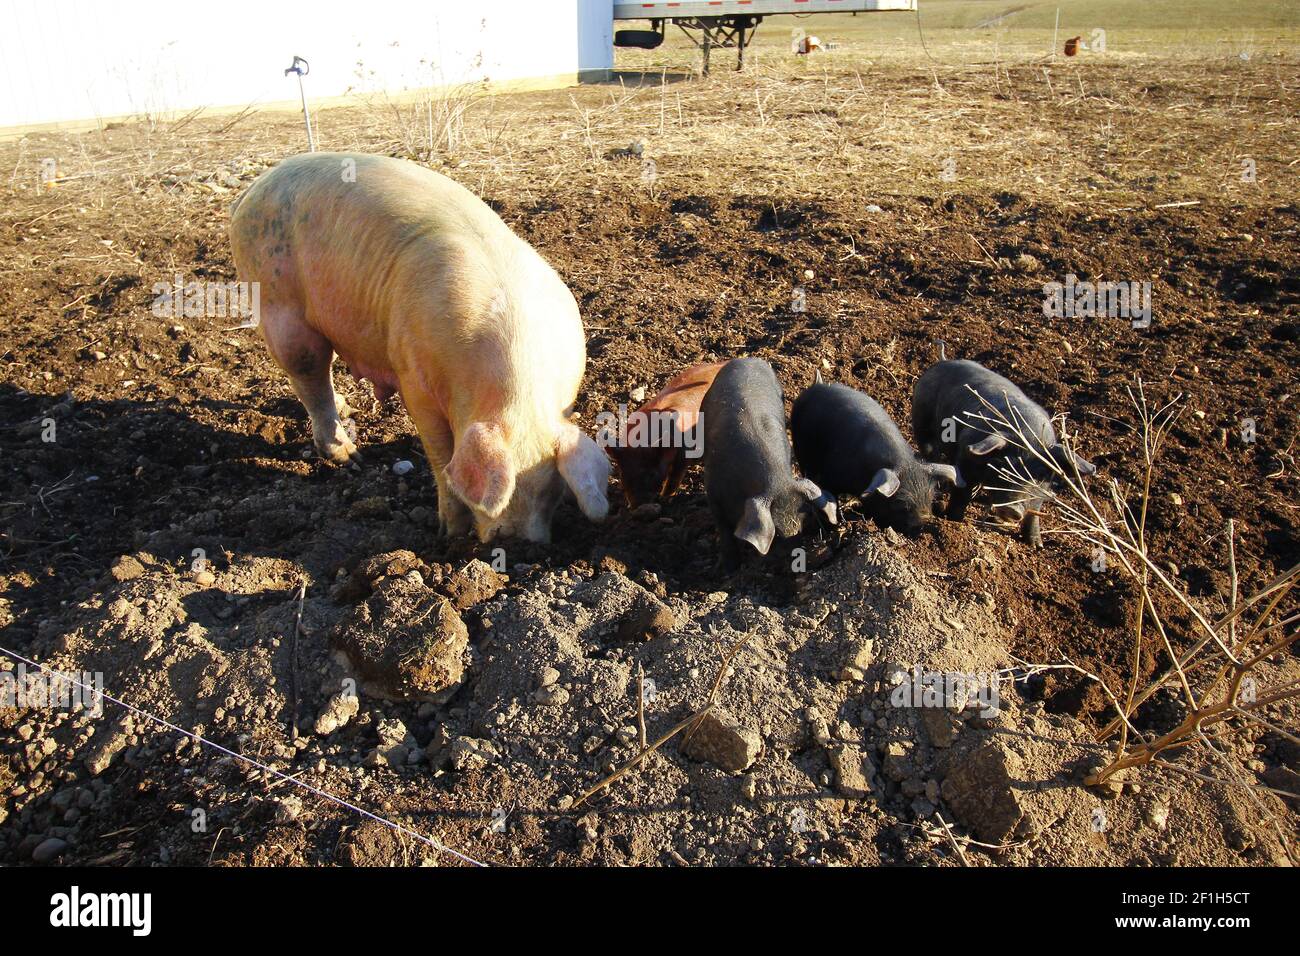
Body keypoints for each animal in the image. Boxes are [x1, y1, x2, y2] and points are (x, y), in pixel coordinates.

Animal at [229, 152, 610, 543]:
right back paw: (350, 457)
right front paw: (449, 533)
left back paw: (347, 408)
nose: (517, 544)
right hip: (278, 304)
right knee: (309, 376)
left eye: (553, 492)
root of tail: (251, 191)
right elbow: (441, 455)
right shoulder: (413, 379)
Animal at [603, 361, 725, 507]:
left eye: (652, 474)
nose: (637, 506)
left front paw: (665, 499)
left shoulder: (683, 455)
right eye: (622, 473)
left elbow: (674, 479)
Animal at [700, 358, 836, 571]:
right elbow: (724, 530)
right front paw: (726, 569)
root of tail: (747, 359)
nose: (795, 563)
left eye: (804, 521)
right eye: (777, 533)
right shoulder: (713, 489)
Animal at [791, 374, 959, 536]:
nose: (923, 526)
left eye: (930, 498)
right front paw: (832, 528)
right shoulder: (830, 477)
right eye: (901, 504)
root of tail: (817, 384)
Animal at [911, 359, 1096, 545]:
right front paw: (954, 520)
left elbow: (1033, 512)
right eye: (1002, 466)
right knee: (929, 451)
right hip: (922, 422)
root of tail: (942, 362)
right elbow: (961, 494)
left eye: (1039, 476)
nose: (1012, 508)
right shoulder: (966, 457)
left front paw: (1036, 545)